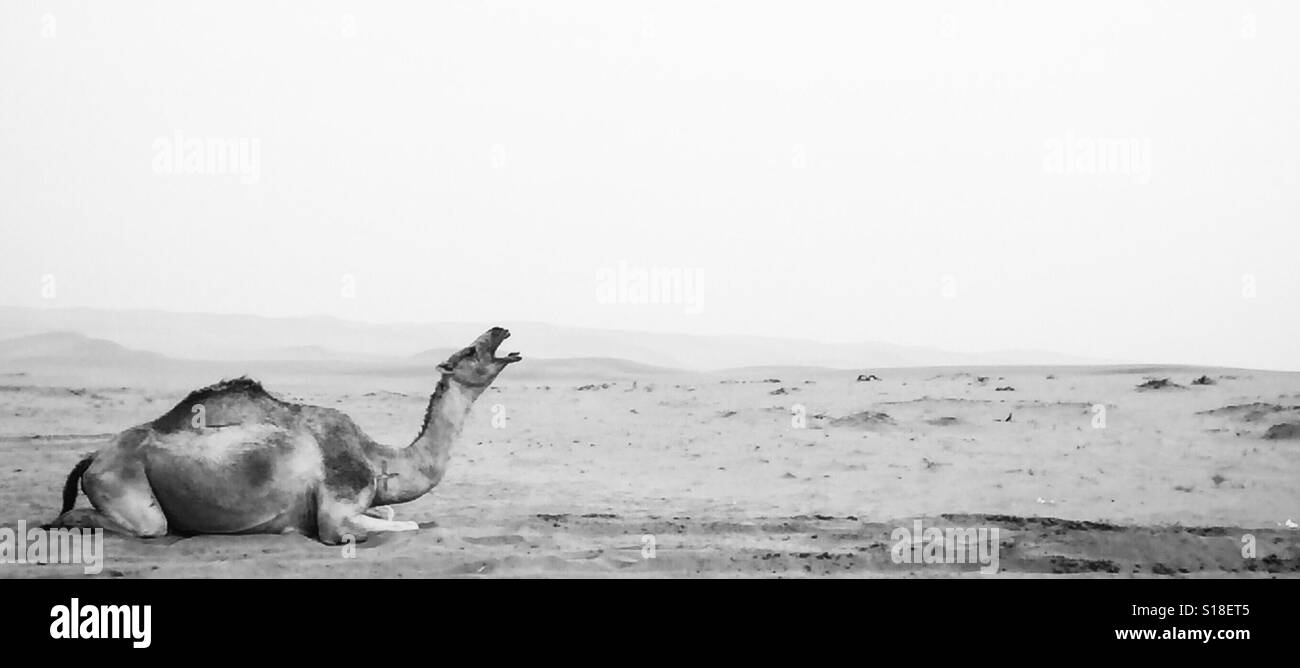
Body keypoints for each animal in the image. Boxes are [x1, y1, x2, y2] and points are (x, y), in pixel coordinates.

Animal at [49, 327, 521, 544]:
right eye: (470, 351)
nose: (500, 331)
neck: (379, 461)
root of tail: (92, 457)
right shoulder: (336, 510)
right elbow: (401, 524)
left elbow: (393, 516)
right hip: (122, 482)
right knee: (139, 524)